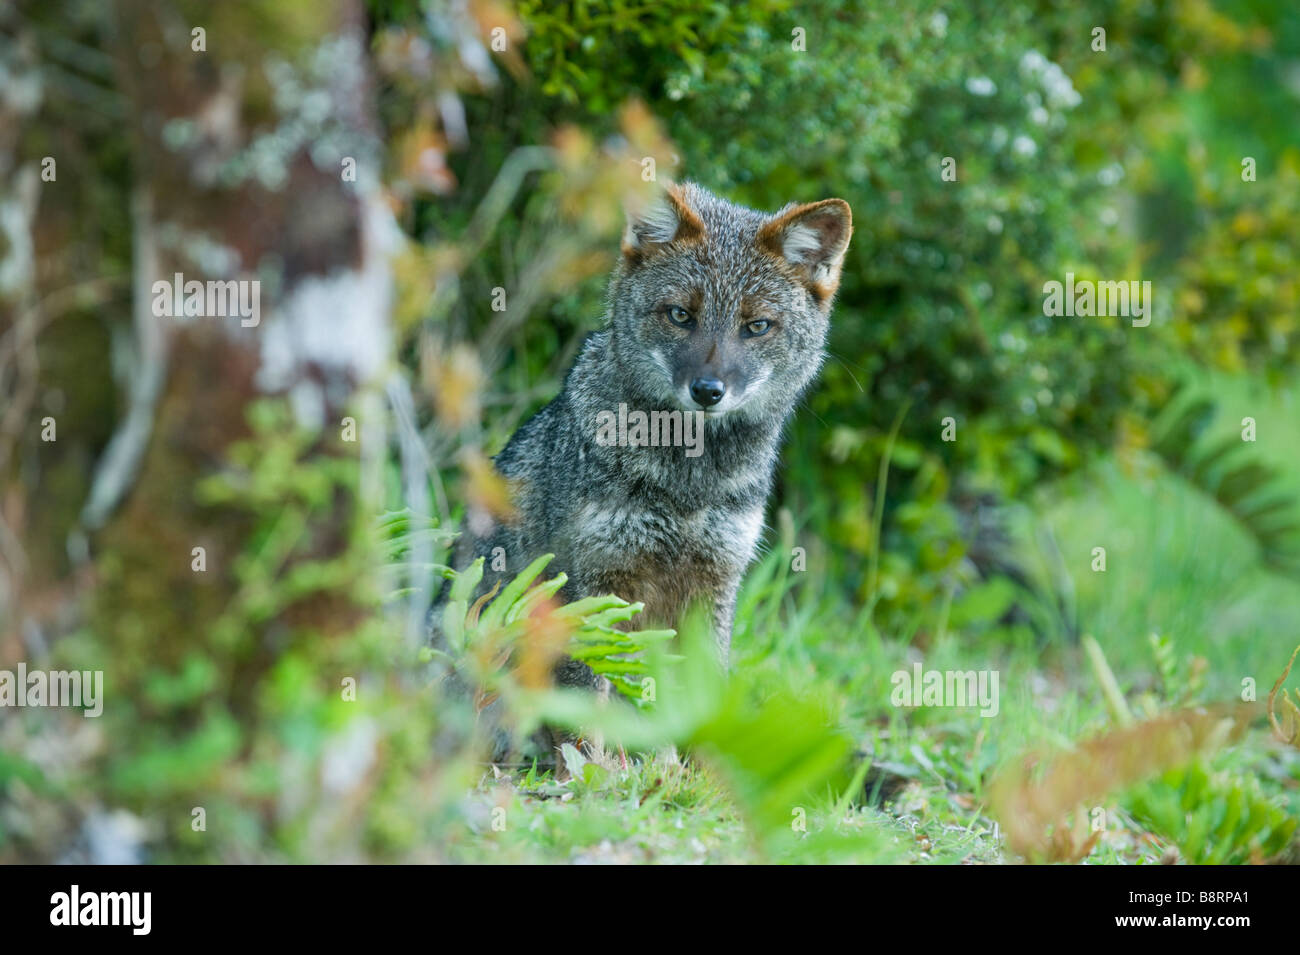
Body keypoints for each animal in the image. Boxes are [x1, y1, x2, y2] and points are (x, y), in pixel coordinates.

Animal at [435, 181, 852, 750]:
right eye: (680, 315)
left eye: (756, 326)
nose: (707, 391)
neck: (688, 485)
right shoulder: (592, 581)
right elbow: (588, 698)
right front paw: (592, 764)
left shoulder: (716, 582)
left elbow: (703, 697)